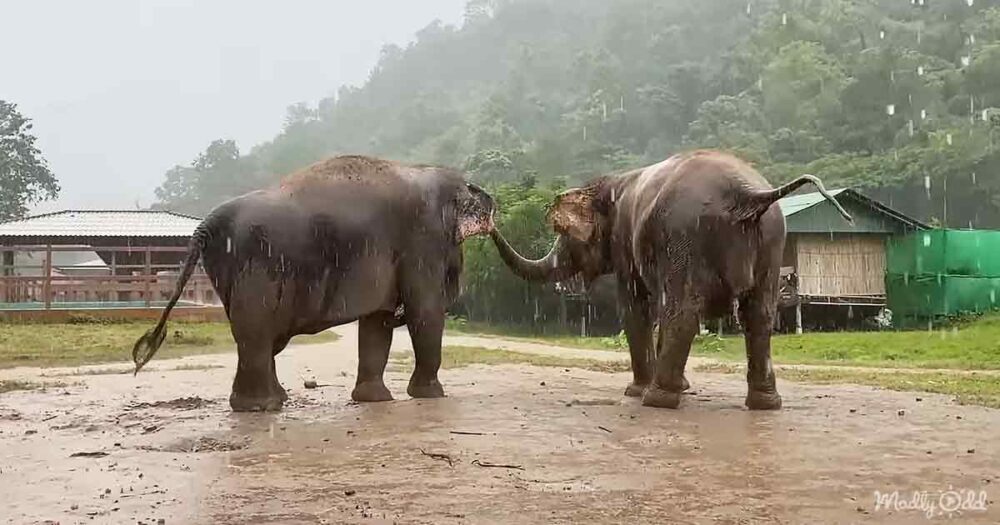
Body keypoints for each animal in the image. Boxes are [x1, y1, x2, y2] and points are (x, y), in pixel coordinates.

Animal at [132, 155, 496, 412]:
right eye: (455, 254)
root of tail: (204, 225)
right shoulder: (422, 239)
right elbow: (424, 311)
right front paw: (431, 396)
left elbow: (377, 321)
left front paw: (375, 400)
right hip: (258, 263)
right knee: (257, 330)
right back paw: (262, 406)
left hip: (230, 270)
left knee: (257, 335)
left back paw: (273, 401)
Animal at [490, 150, 851, 410]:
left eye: (563, 235)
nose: (490, 219)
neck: (610, 183)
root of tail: (746, 194)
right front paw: (684, 387)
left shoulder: (625, 242)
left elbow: (637, 307)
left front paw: (635, 391)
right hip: (773, 239)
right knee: (759, 315)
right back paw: (765, 404)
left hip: (687, 235)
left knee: (683, 313)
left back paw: (656, 399)